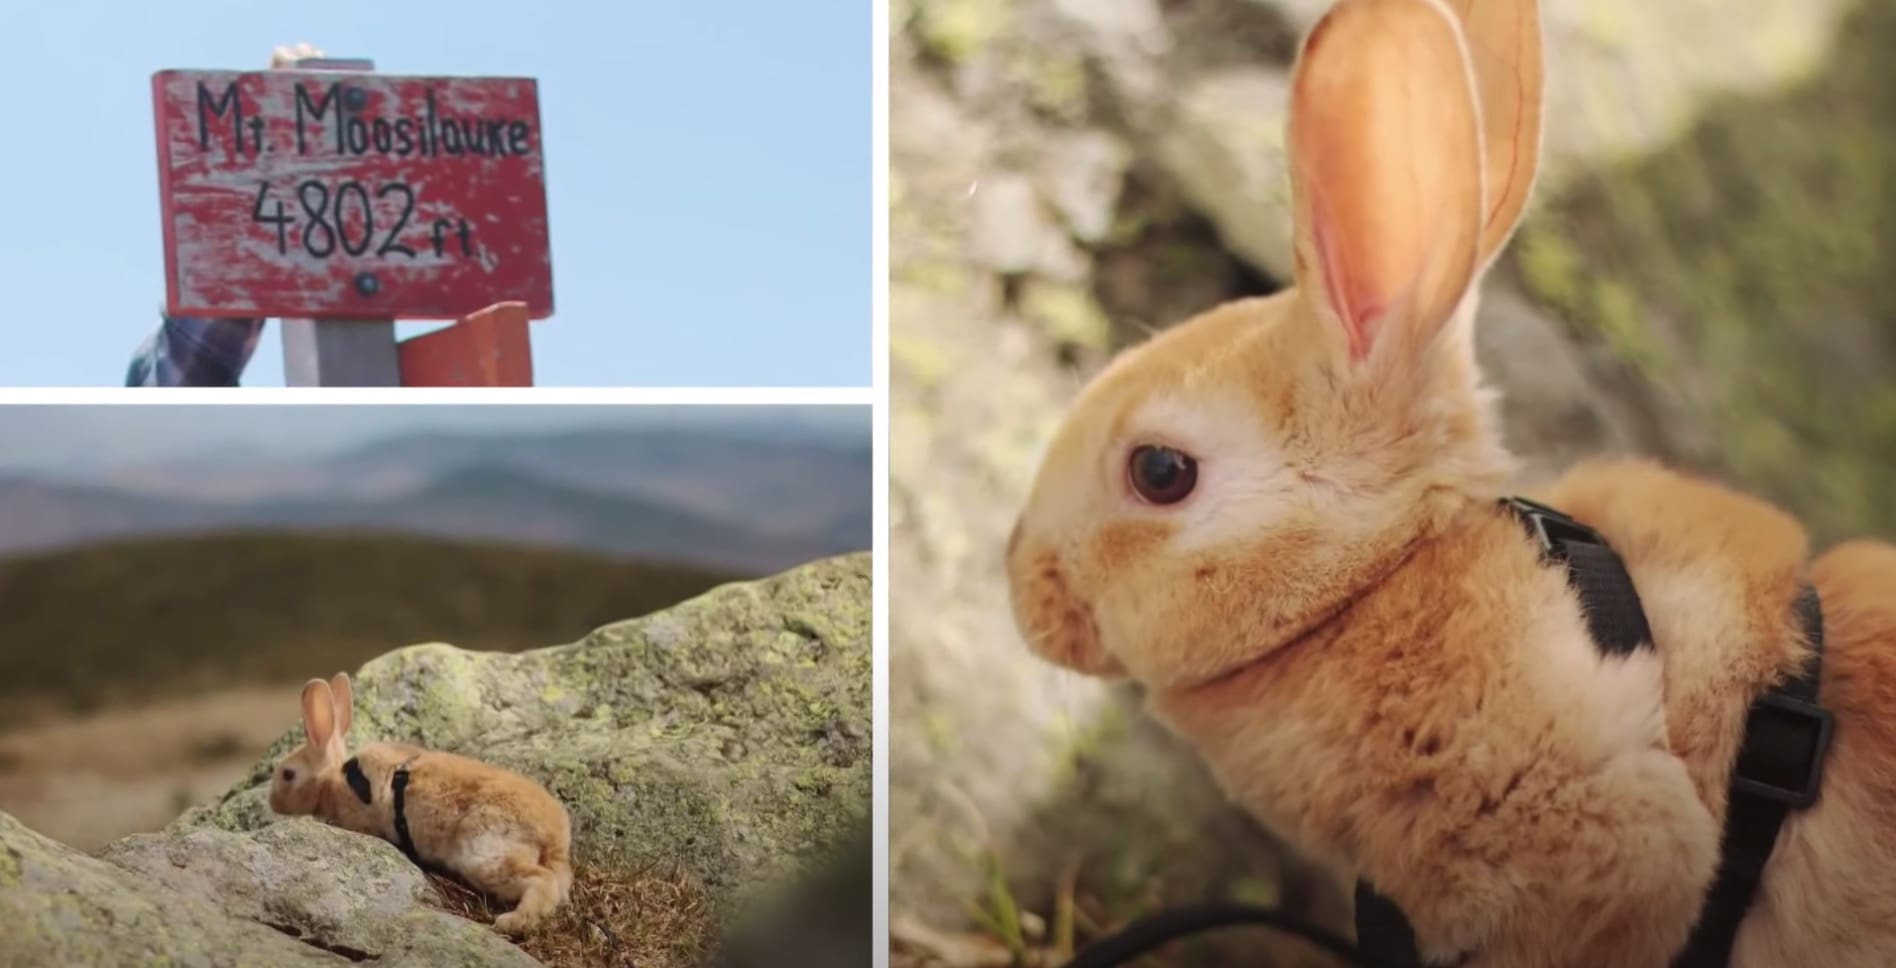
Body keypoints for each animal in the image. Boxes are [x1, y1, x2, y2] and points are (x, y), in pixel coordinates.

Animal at [268, 672, 575, 937]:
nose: (272, 802)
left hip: (486, 853)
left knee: (542, 881)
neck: (336, 780)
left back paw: (510, 923)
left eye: (288, 774)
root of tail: (554, 838)